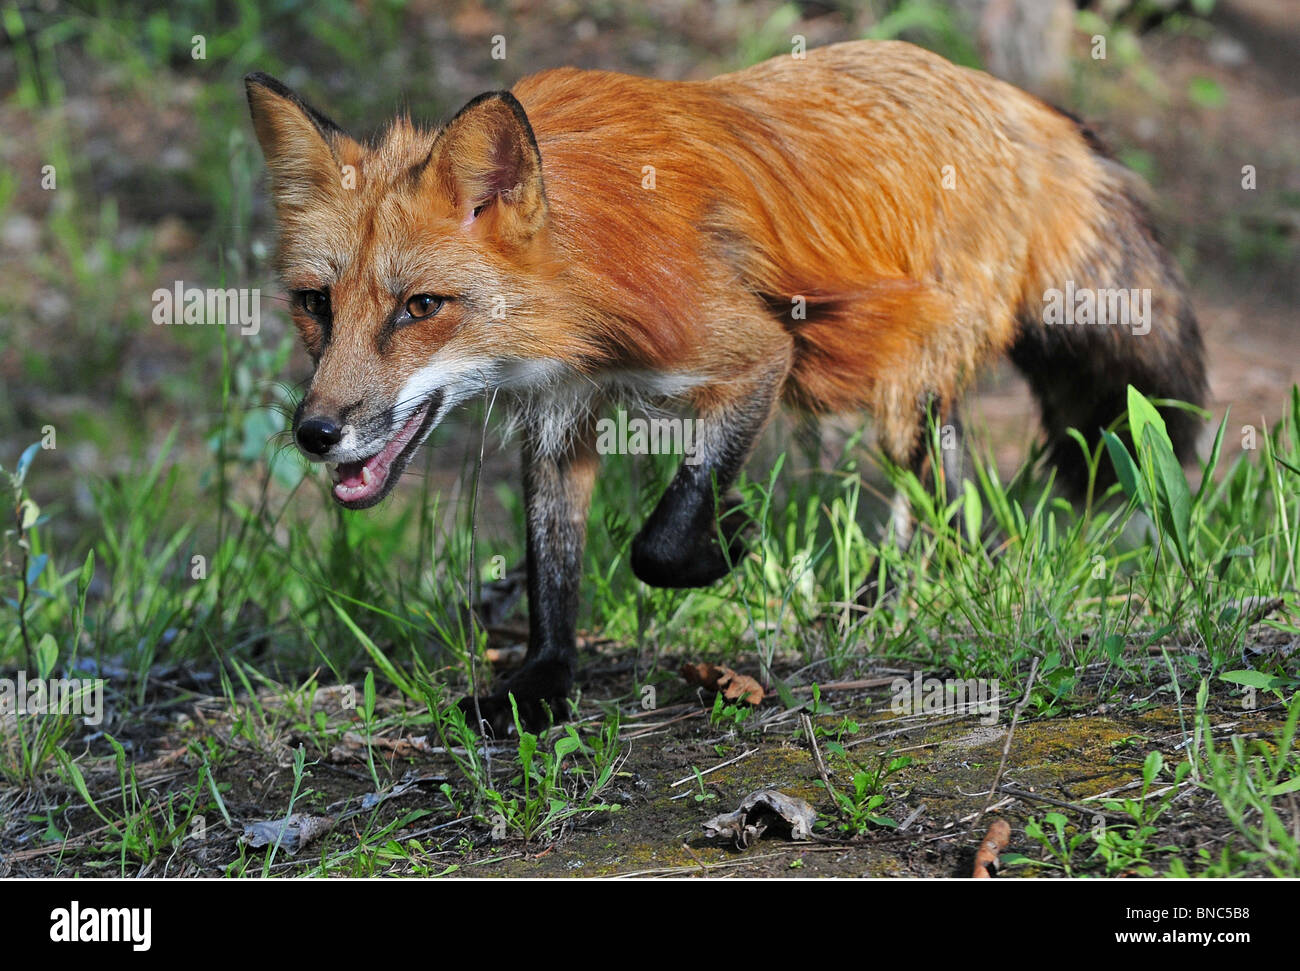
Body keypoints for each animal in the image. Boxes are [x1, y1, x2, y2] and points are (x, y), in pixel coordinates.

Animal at [245, 39, 1204, 735]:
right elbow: (553, 571)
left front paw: (728, 540)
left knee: (941, 490)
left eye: (420, 307)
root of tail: (1008, 97)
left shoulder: (754, 354)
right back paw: (894, 596)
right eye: (316, 303)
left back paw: (898, 601)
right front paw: (545, 686)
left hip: (904, 383)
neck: (585, 283)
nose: (316, 432)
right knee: (951, 495)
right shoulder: (559, 414)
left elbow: (659, 544)